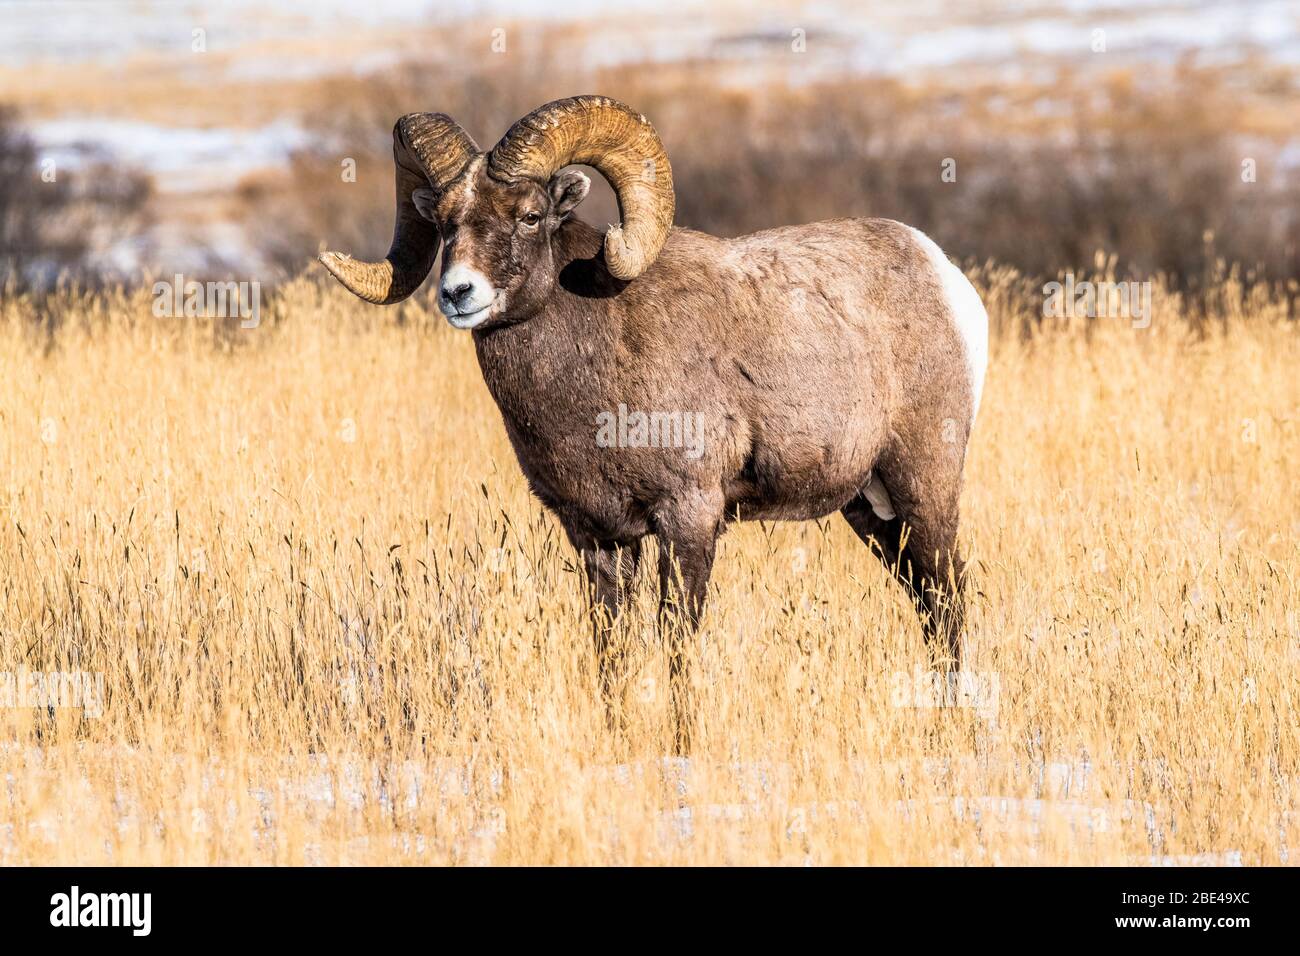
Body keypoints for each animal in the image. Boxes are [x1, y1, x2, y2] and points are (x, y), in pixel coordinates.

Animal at [319, 95, 988, 746]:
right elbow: (610, 650)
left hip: (923, 487)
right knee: (929, 606)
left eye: (530, 216)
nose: (459, 293)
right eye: (443, 223)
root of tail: (945, 277)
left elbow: (676, 644)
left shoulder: (687, 517)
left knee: (950, 602)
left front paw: (683, 744)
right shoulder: (598, 536)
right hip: (870, 511)